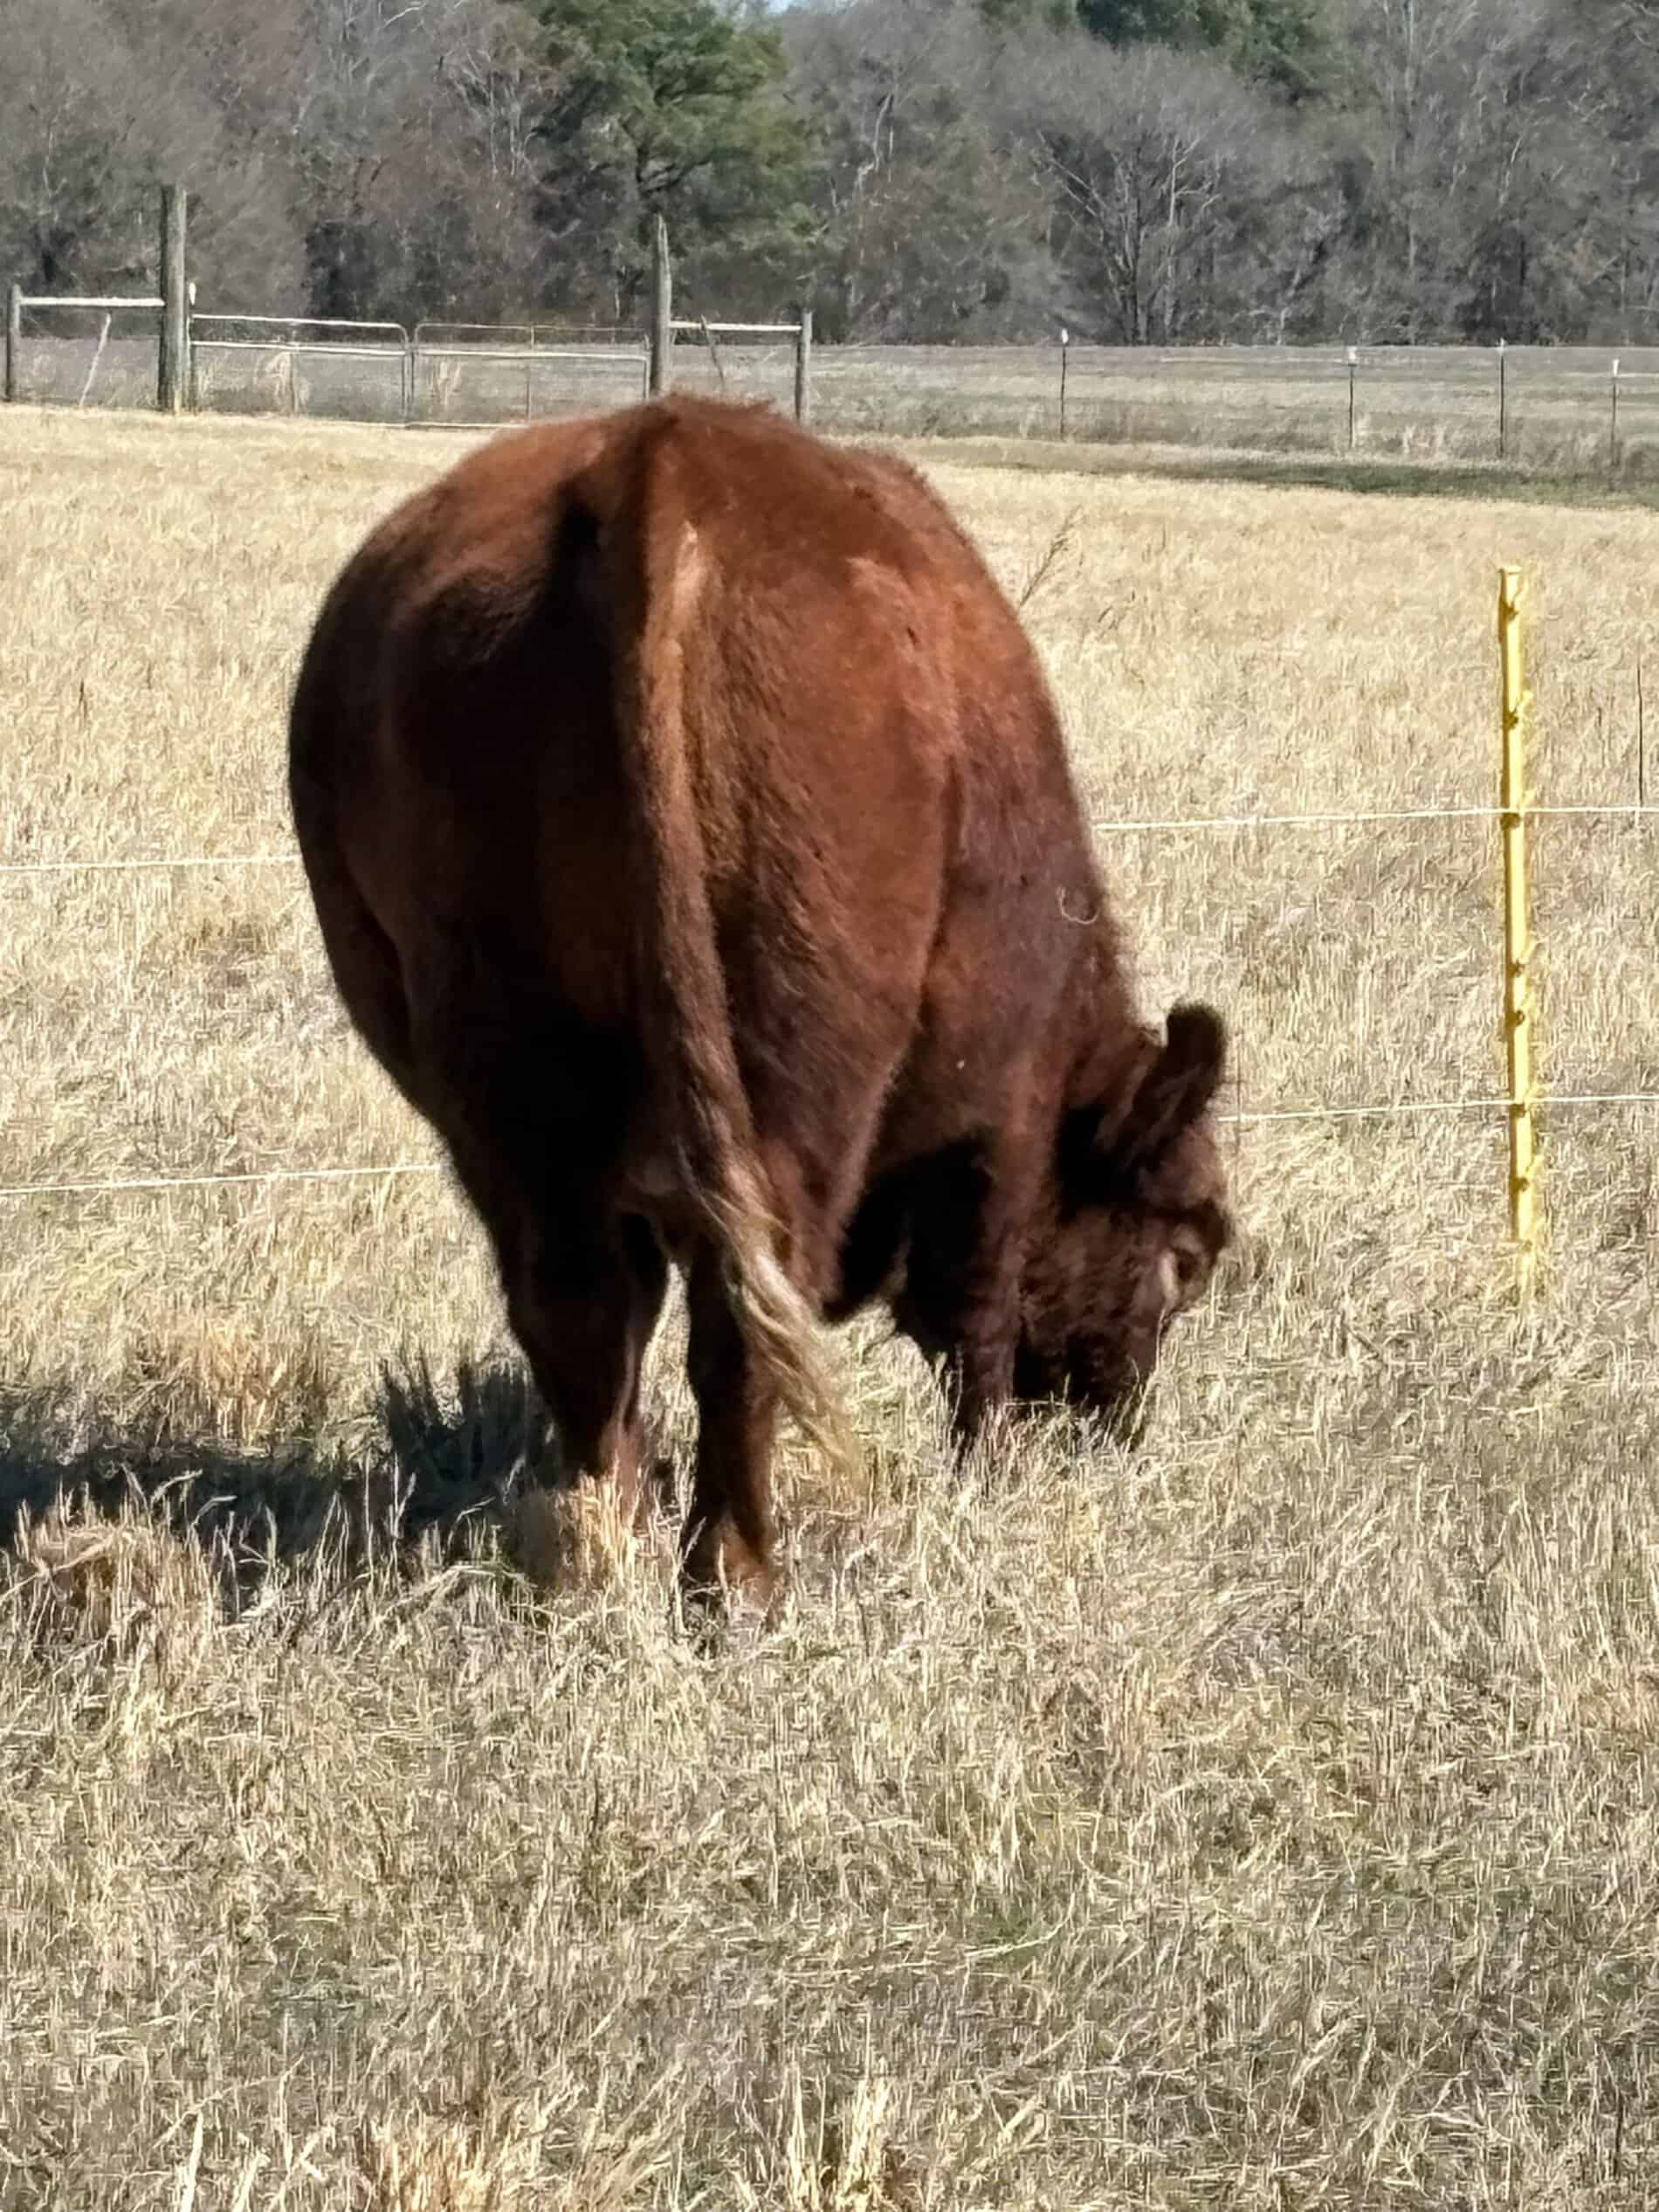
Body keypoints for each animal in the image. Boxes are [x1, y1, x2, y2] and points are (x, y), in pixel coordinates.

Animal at [287, 394, 1231, 1617]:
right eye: (1190, 1250)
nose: (1121, 1421)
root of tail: (657, 461)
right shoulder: (1006, 1110)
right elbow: (976, 1303)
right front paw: (984, 1483)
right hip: (796, 1077)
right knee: (745, 1306)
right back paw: (739, 1578)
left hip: (506, 1087)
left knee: (577, 1300)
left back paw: (607, 1553)